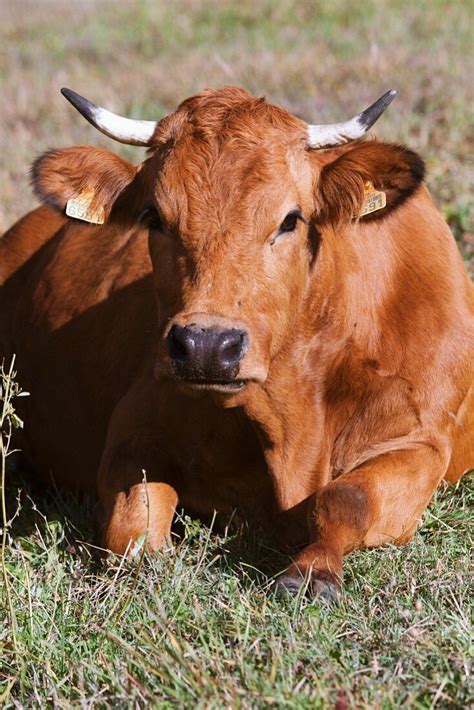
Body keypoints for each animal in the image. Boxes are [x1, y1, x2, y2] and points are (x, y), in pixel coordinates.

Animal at [1, 86, 472, 600]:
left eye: (290, 220)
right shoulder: (136, 424)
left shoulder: (419, 442)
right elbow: (133, 529)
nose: (206, 345)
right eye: (154, 217)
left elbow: (345, 499)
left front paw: (313, 570)